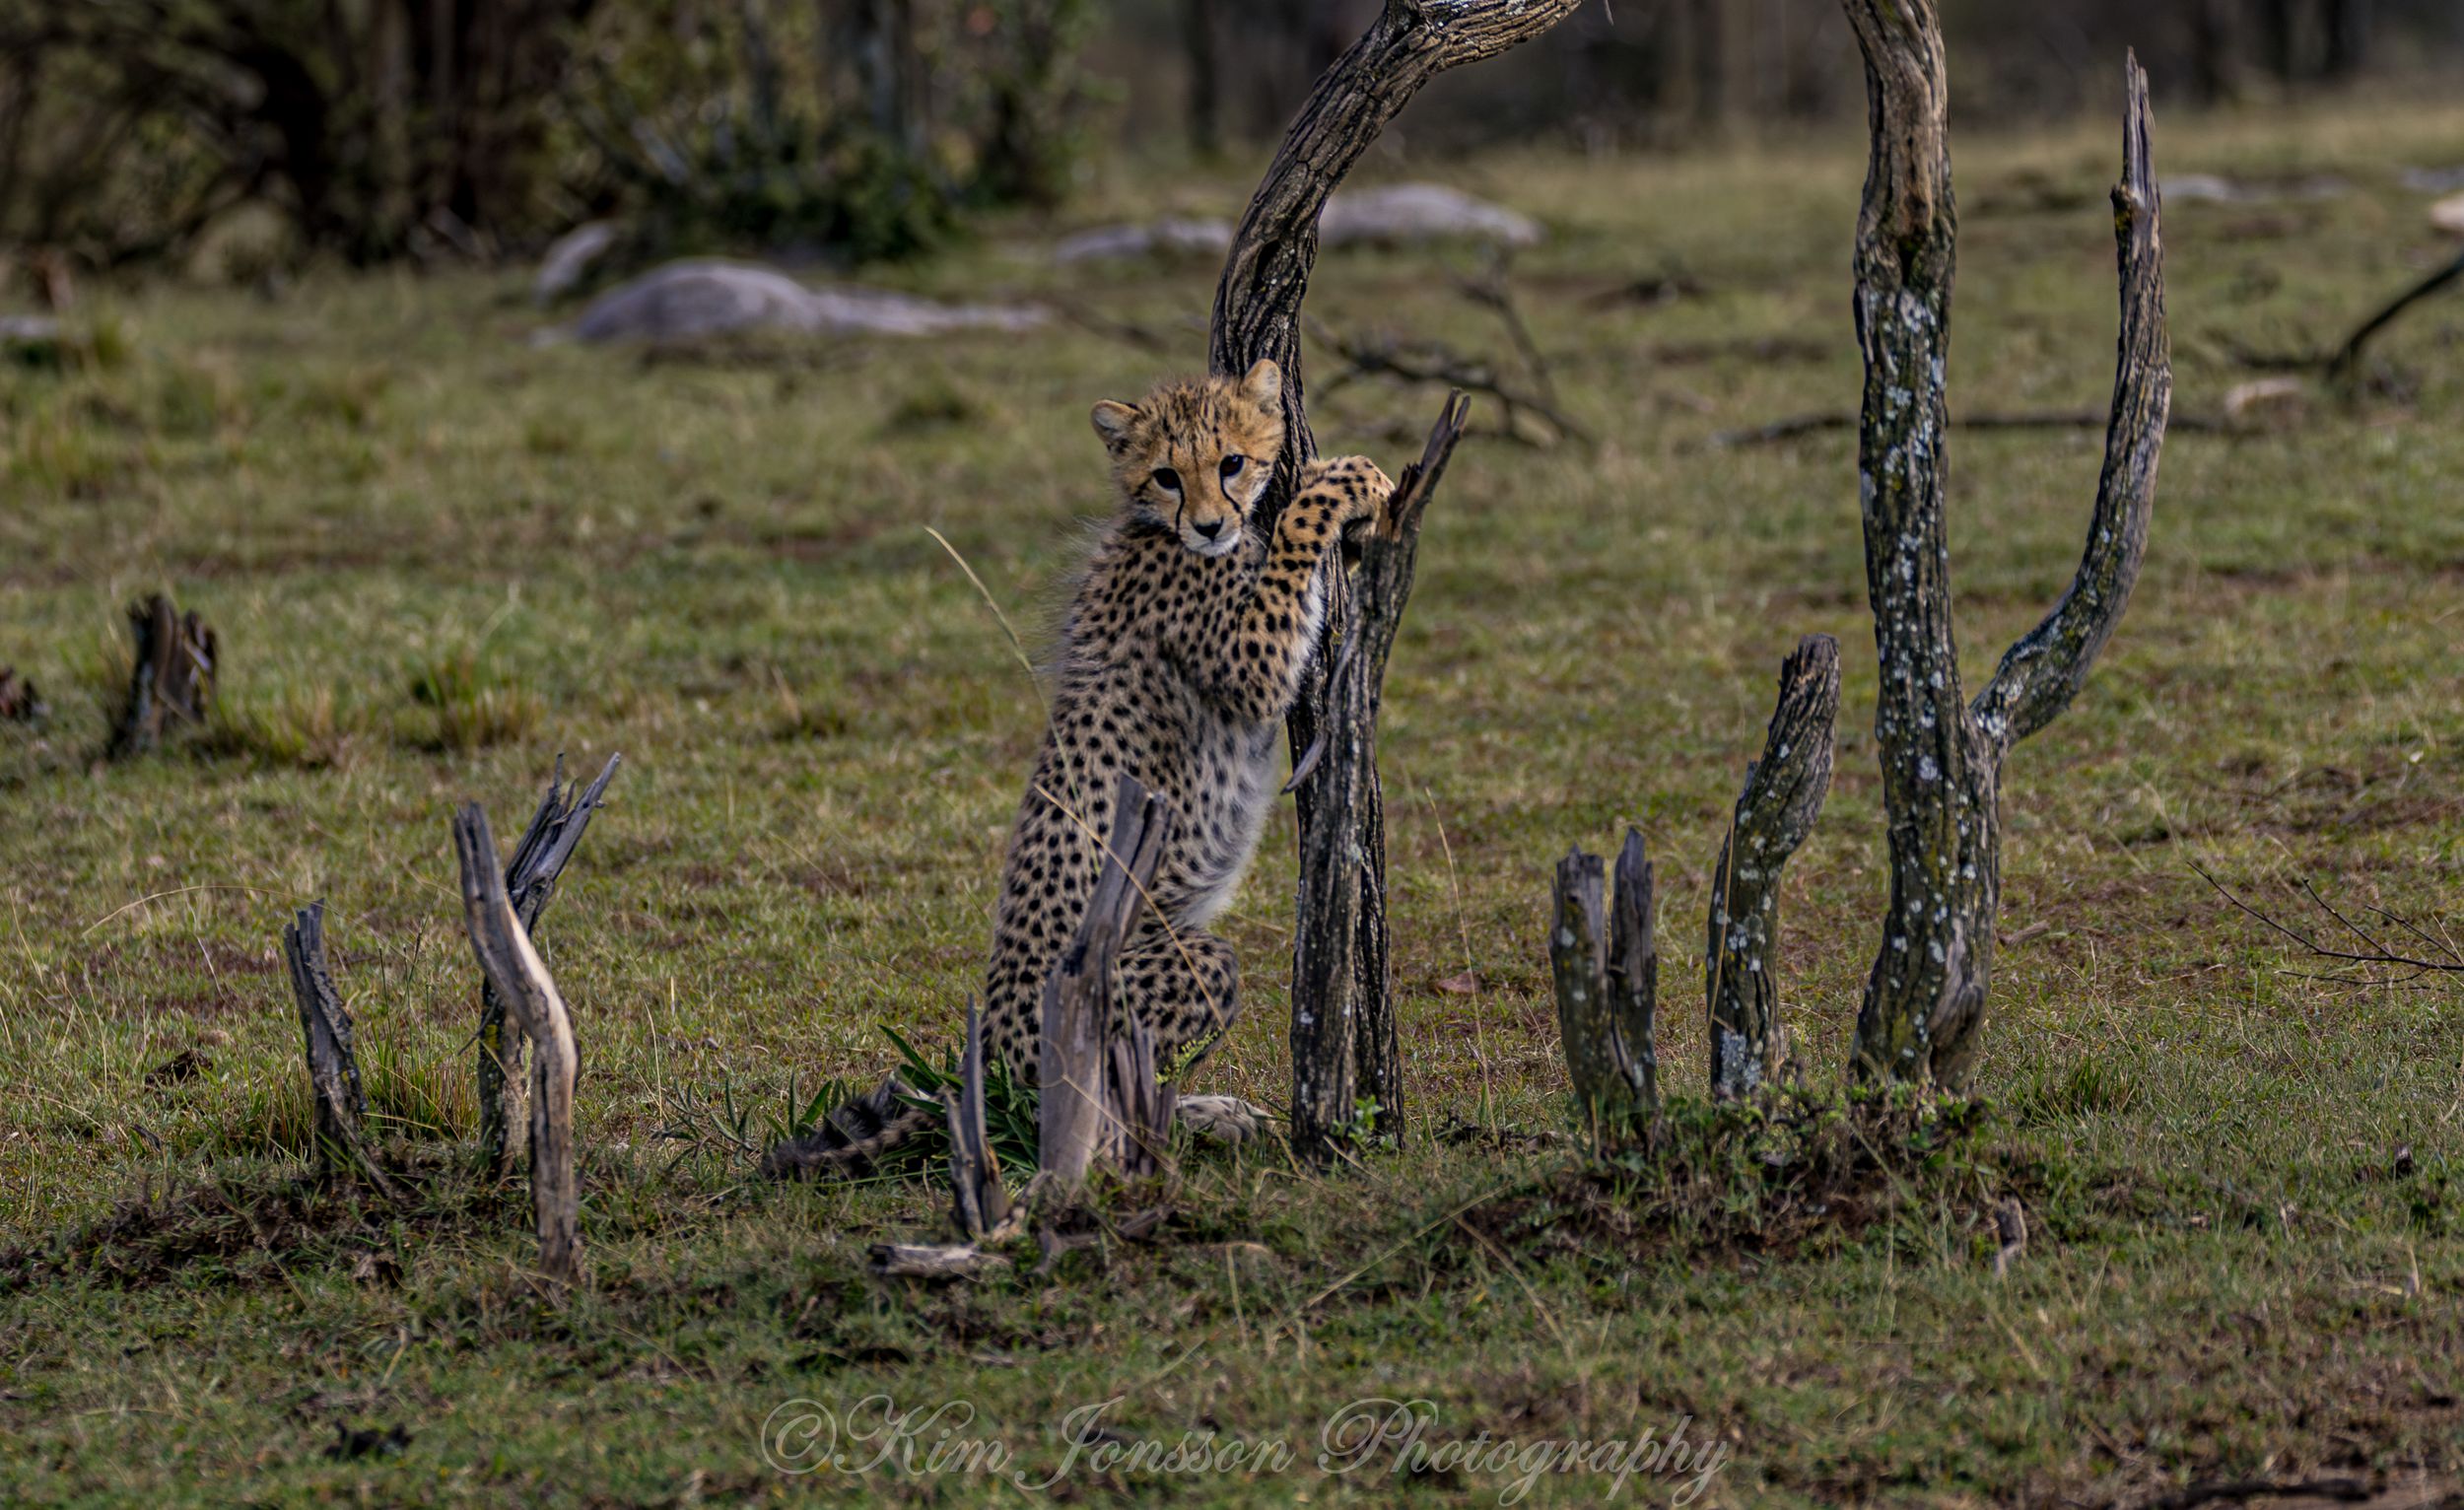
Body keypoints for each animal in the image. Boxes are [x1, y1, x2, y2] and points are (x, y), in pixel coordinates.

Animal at [761, 358, 1393, 1178]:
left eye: (1230, 462)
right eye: (1166, 475)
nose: (1209, 525)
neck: (1157, 530)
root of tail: (986, 1053)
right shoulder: (1249, 660)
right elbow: (1292, 542)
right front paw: (1341, 483)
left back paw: (1204, 1116)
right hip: (1150, 976)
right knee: (1075, 1097)